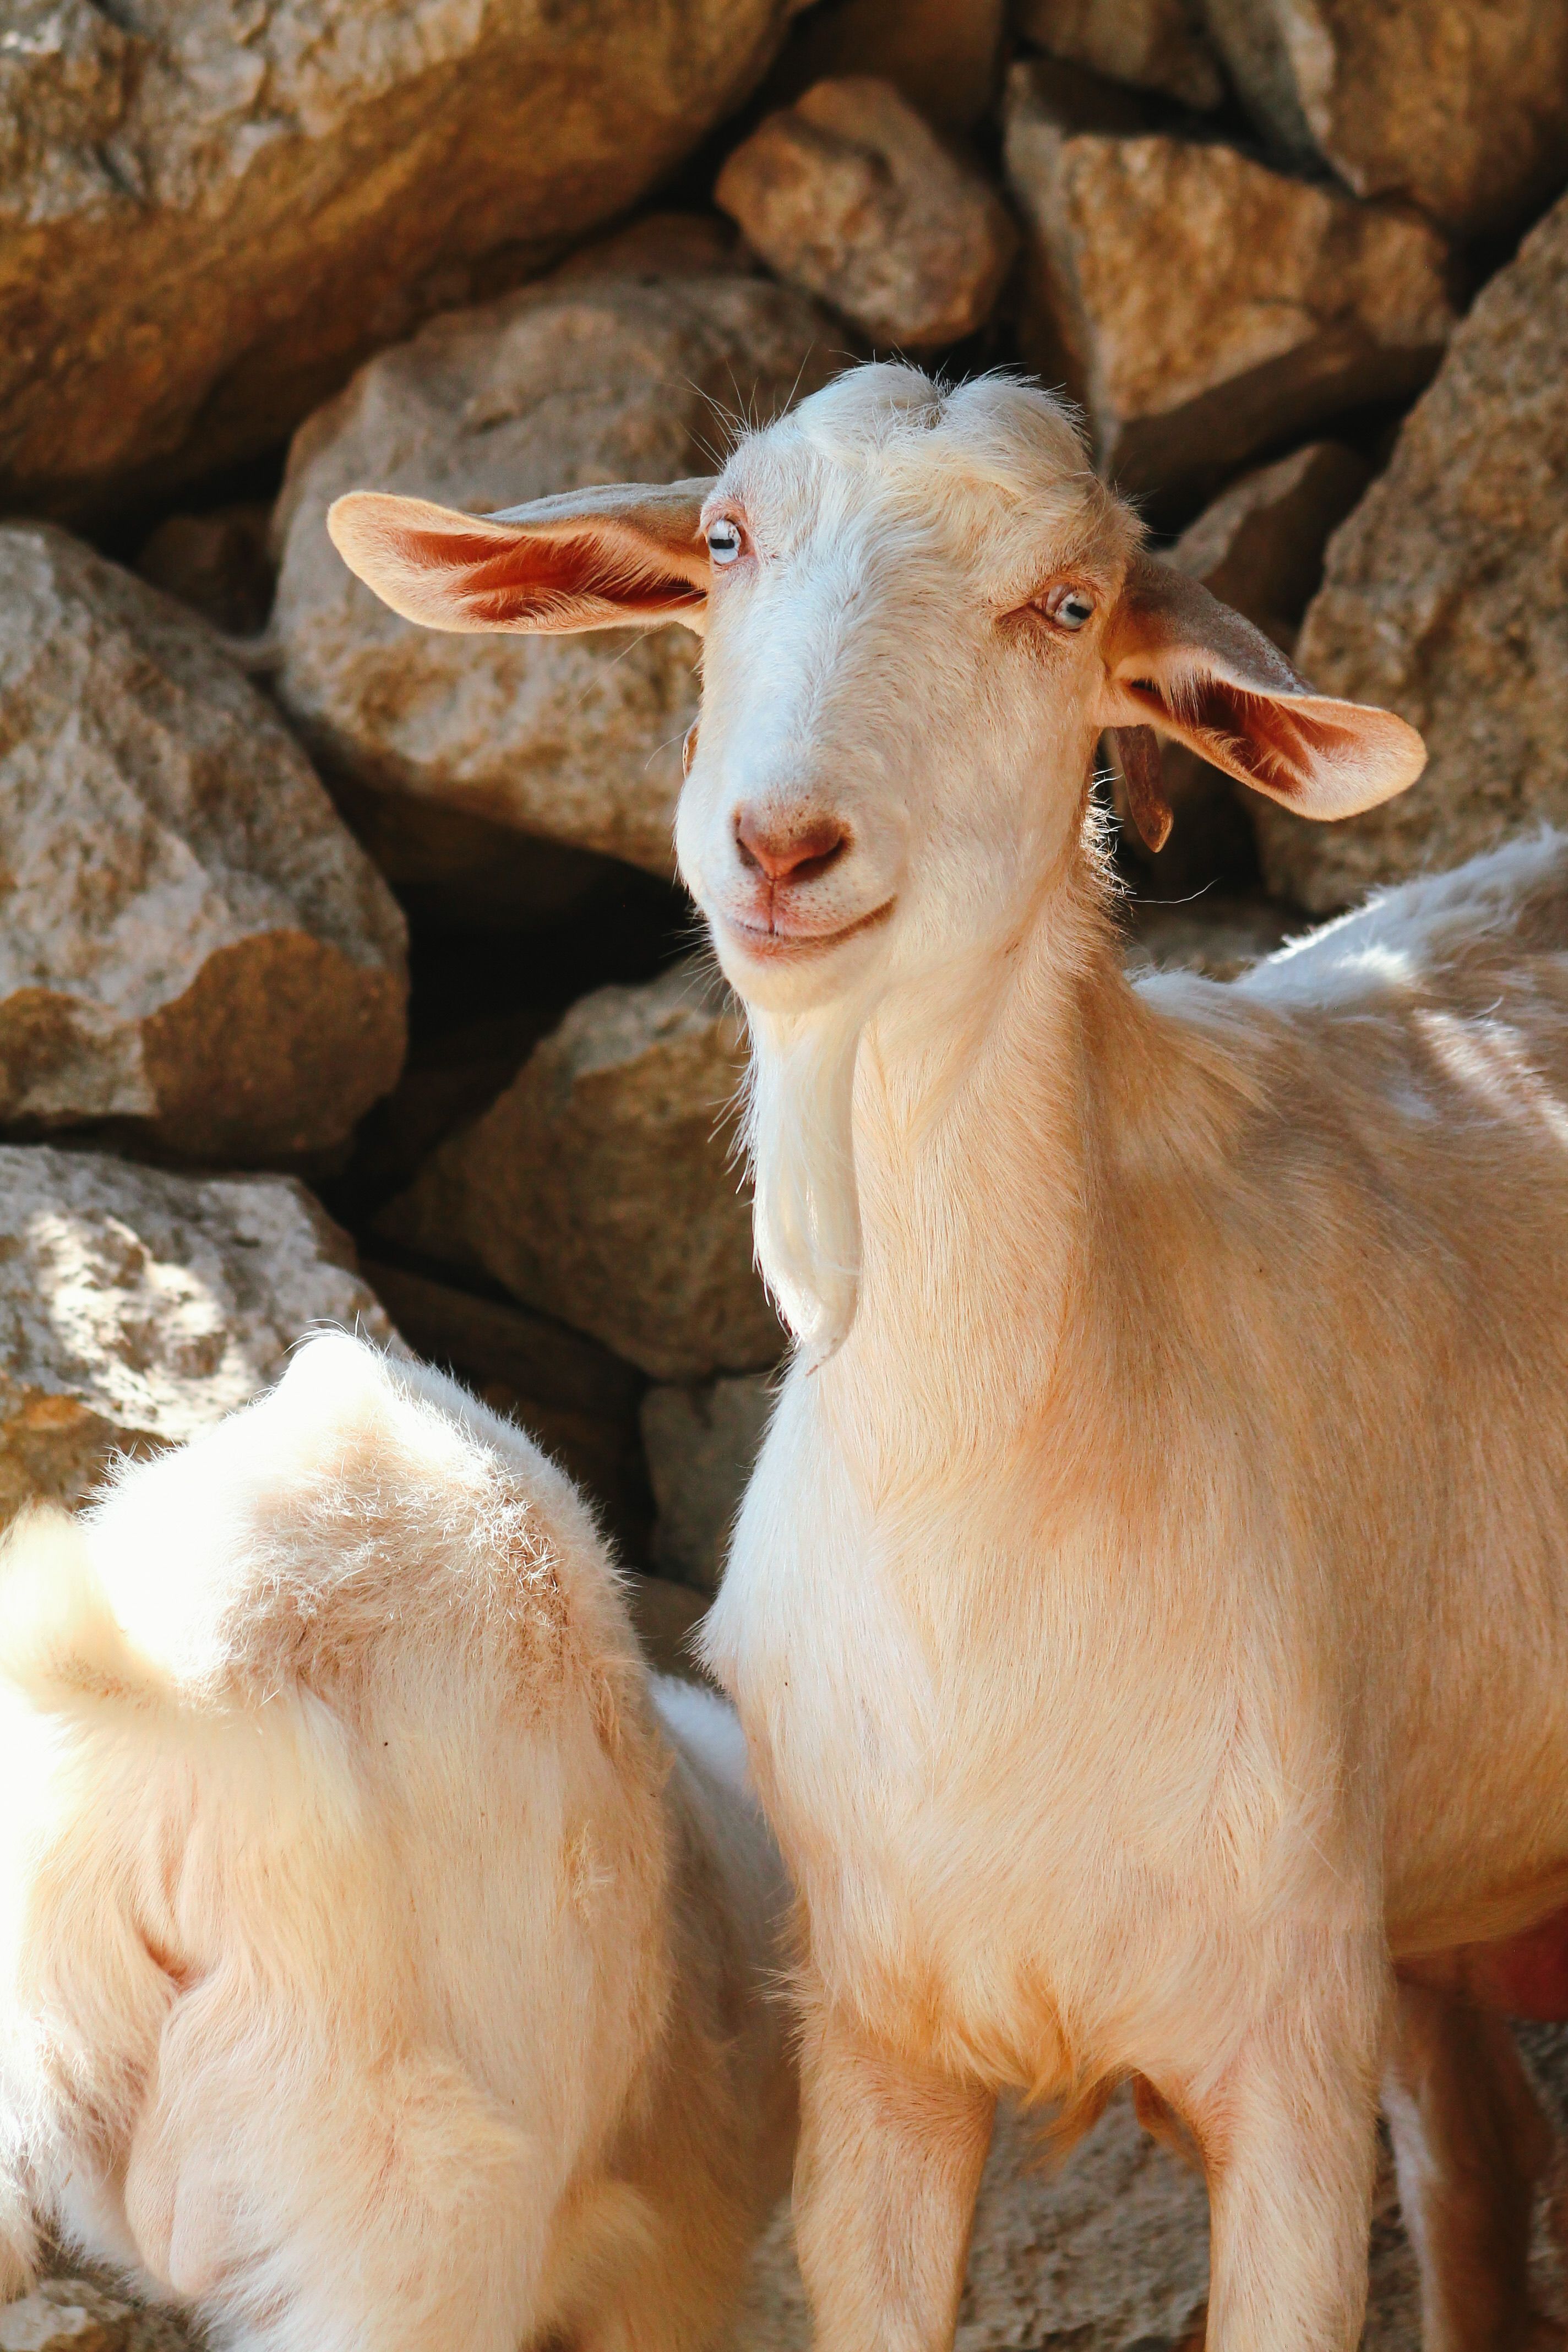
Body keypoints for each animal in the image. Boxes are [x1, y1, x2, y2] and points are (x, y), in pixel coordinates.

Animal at [330, 364, 1568, 2352]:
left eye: (1065, 606)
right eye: (727, 538)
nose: (781, 844)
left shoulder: (1282, 2049)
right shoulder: (877, 2046)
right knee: (1475, 2158)